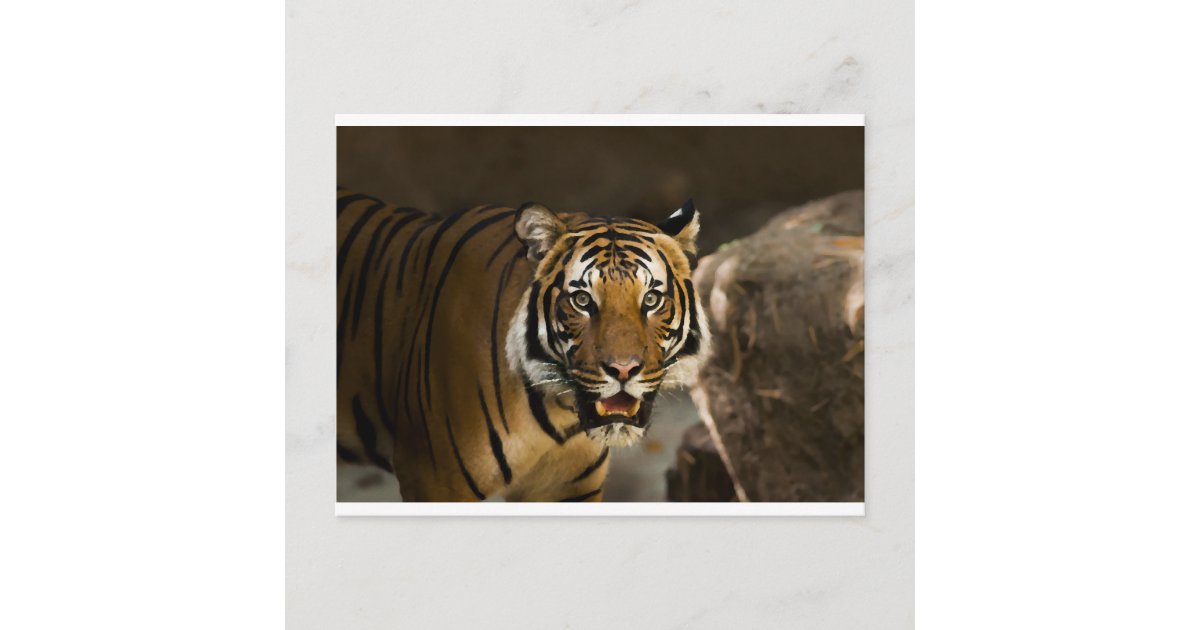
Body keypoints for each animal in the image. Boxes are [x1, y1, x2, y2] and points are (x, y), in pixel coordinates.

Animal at [336, 187, 709, 501]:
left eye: (651, 299)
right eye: (583, 300)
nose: (623, 369)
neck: (558, 414)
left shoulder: (570, 489)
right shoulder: (434, 481)